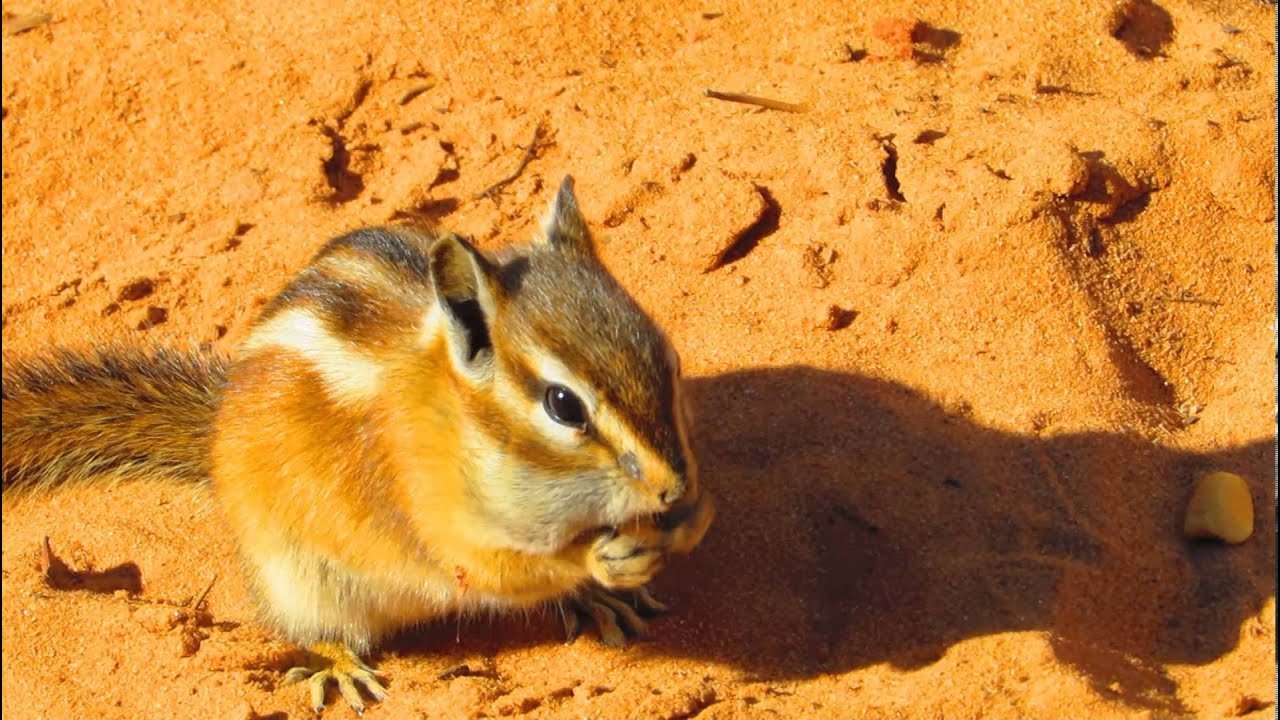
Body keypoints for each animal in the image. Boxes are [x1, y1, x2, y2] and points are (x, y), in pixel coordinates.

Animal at [2, 175, 715, 715]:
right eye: (563, 405)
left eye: (671, 361)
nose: (675, 488)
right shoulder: (424, 506)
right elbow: (493, 568)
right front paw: (602, 561)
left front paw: (677, 529)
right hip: (295, 576)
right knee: (315, 629)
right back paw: (338, 663)